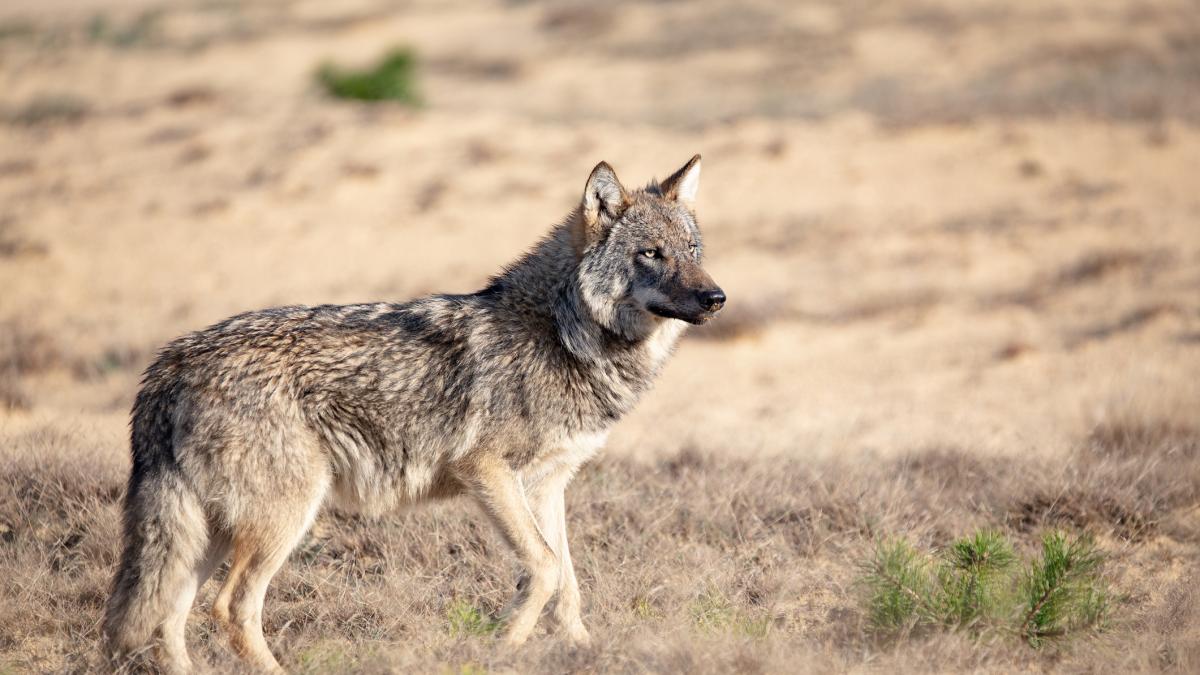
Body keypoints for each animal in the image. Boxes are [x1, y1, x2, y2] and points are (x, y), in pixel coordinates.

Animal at [104, 155, 725, 673]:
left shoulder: (548, 484)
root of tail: (169, 364)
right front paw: (502, 647)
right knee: (230, 609)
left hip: (208, 534)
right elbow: (546, 570)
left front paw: (582, 652)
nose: (716, 298)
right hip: (282, 520)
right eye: (651, 253)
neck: (563, 333)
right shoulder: (486, 472)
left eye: (694, 251)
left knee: (166, 619)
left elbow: (567, 585)